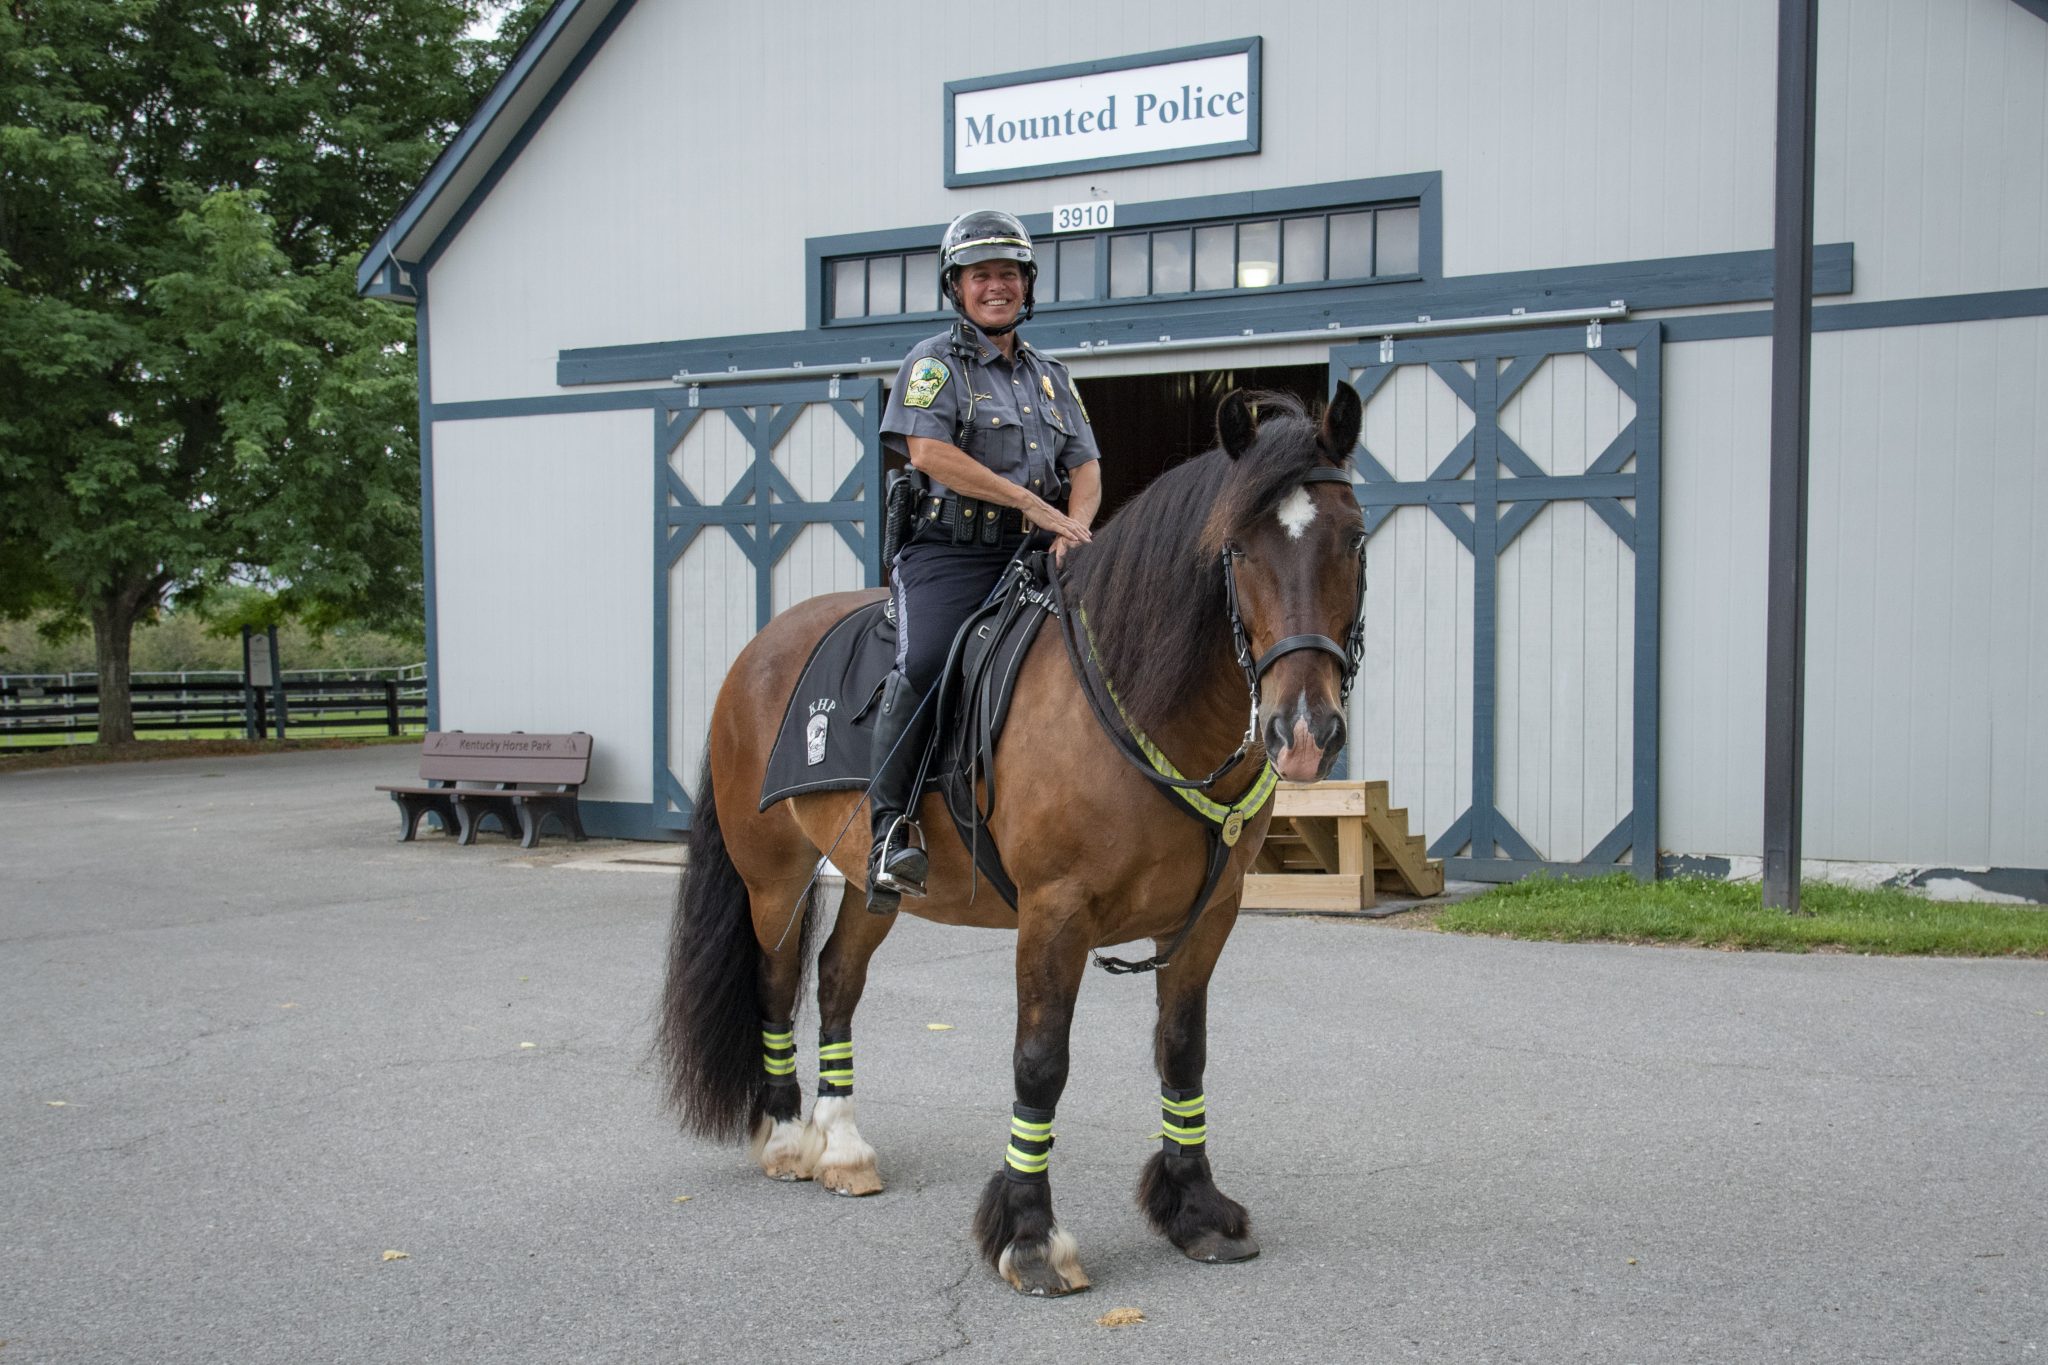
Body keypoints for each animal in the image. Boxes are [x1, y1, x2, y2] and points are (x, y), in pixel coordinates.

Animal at [656, 383, 1367, 1295]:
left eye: (1354, 539)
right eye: (1236, 549)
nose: (1304, 731)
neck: (1139, 699)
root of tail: (755, 651)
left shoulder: (1209, 915)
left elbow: (1183, 1053)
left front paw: (1196, 1208)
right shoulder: (1054, 912)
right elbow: (1040, 1062)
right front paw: (1028, 1233)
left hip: (872, 883)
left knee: (838, 979)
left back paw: (842, 1144)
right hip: (773, 877)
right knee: (777, 984)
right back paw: (785, 1136)